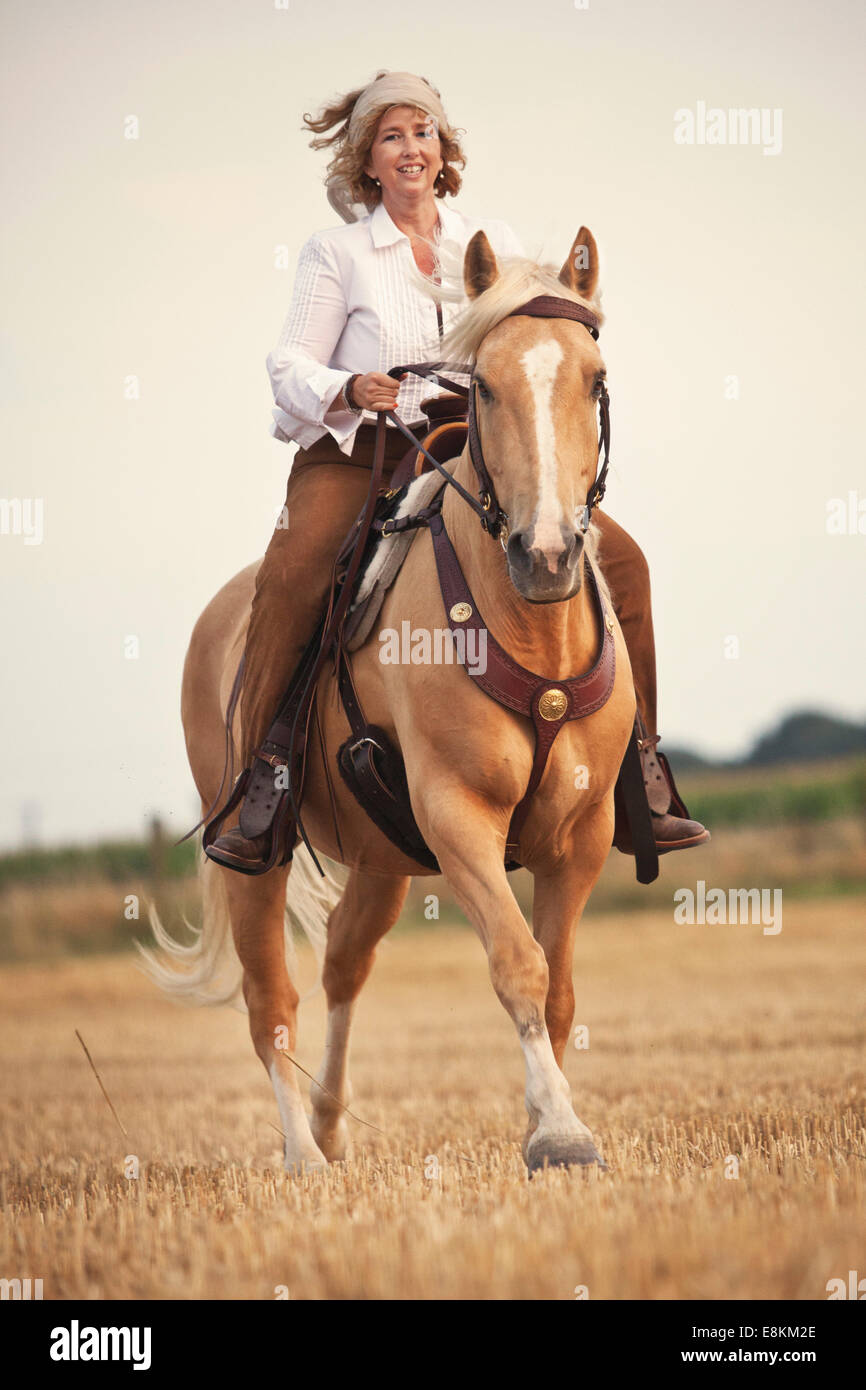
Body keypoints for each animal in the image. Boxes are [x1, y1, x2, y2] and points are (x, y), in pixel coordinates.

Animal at [145, 225, 636, 1173]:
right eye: (483, 385)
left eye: (595, 379)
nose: (547, 554)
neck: (529, 631)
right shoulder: (457, 814)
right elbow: (518, 963)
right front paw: (559, 1133)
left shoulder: (580, 835)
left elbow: (557, 987)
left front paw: (554, 1120)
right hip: (256, 853)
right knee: (271, 1003)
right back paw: (303, 1156)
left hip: (379, 856)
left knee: (344, 962)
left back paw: (332, 1127)